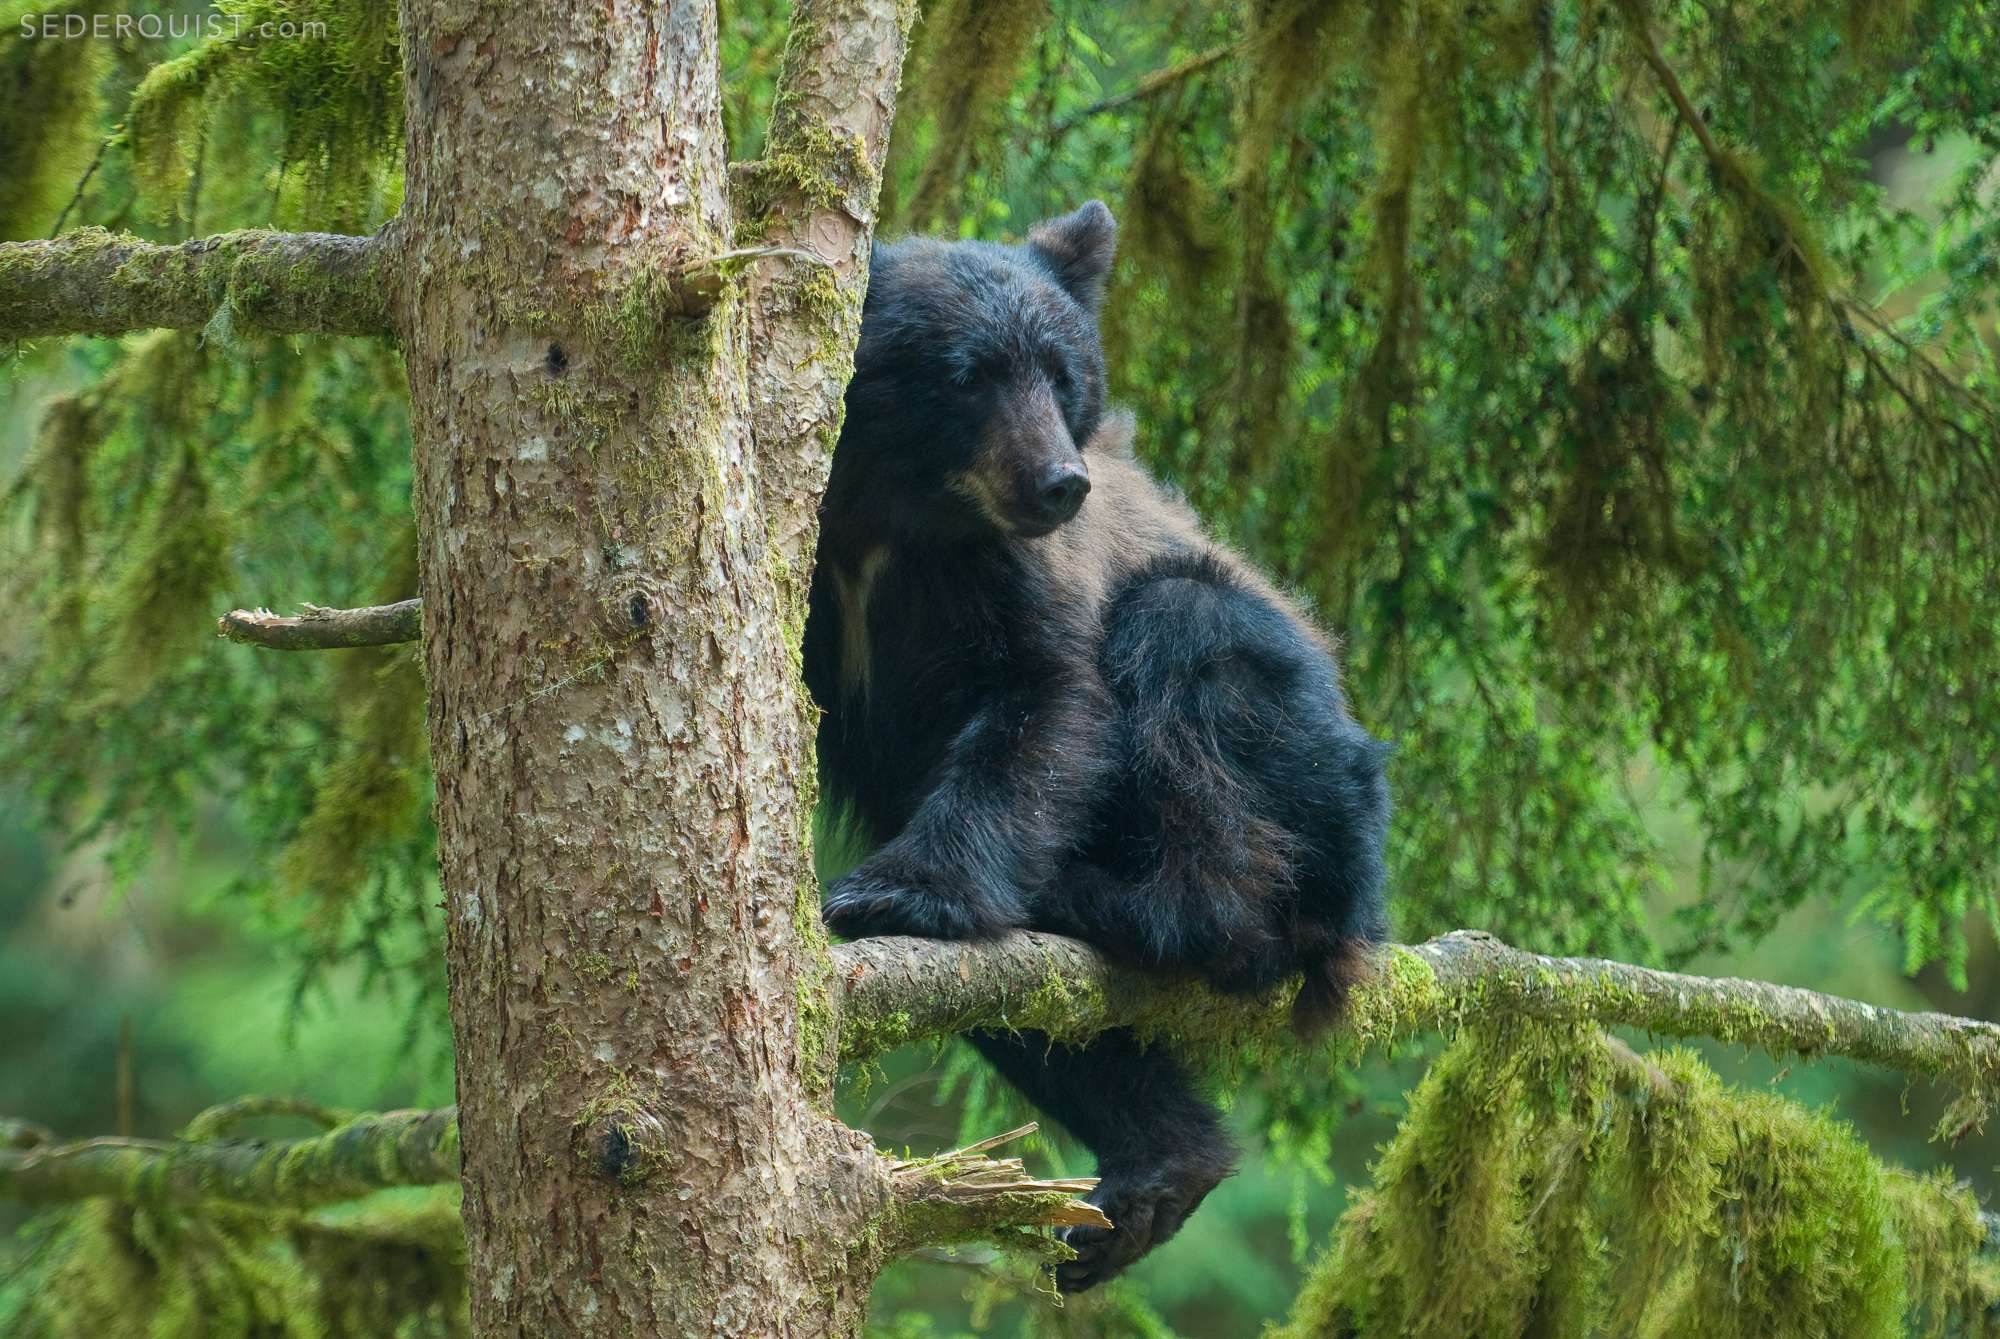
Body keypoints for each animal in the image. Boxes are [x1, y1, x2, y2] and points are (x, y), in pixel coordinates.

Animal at [804, 200, 1392, 1291]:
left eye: (1061, 370)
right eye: (968, 373)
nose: (1057, 482)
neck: (889, 518)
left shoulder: (1022, 577)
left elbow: (1043, 705)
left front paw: (901, 887)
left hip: (1298, 759)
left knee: (1183, 659)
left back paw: (1113, 900)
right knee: (1048, 1026)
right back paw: (1152, 1174)